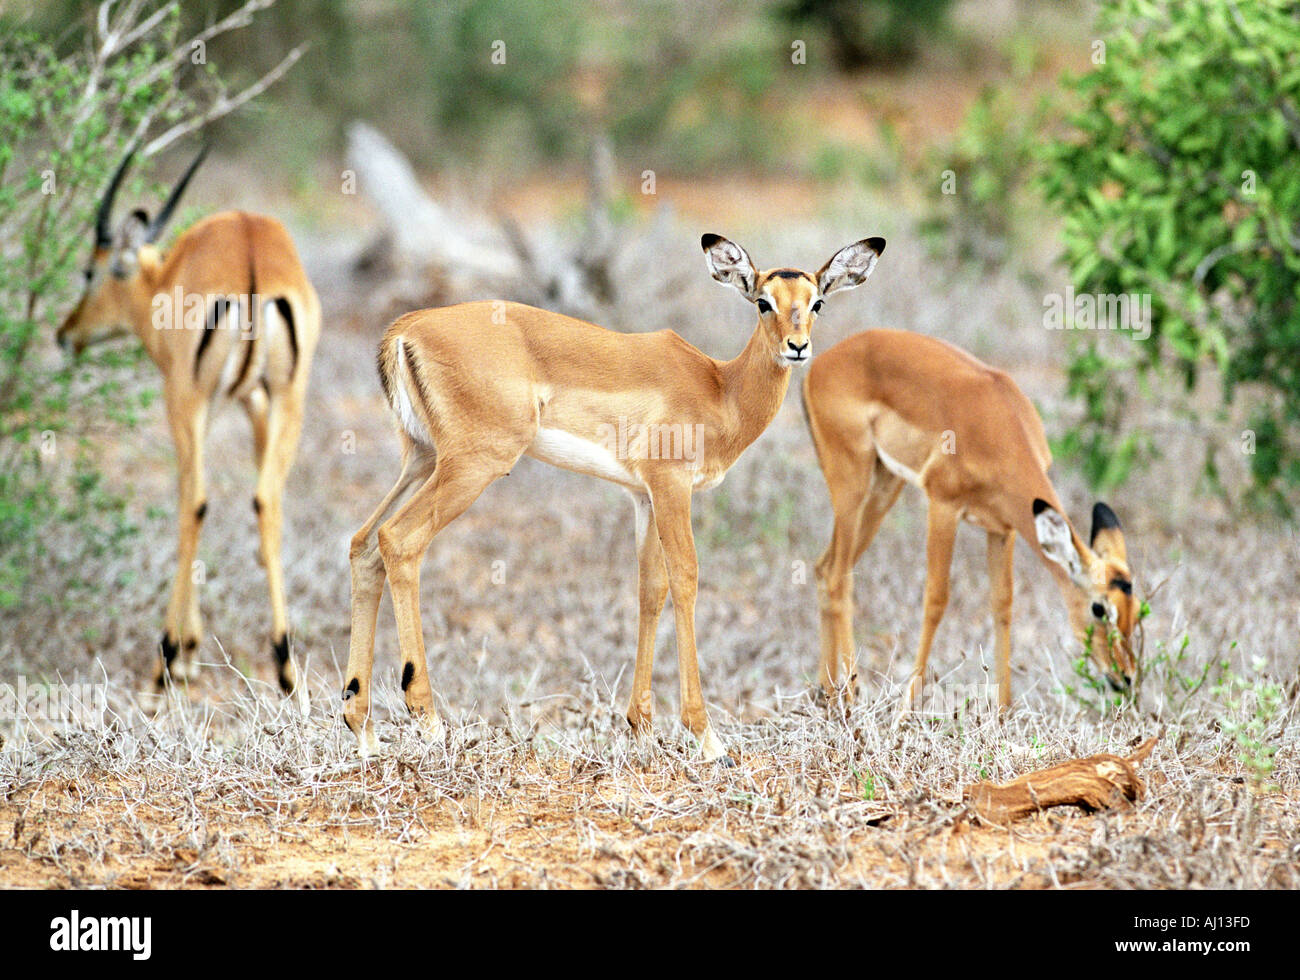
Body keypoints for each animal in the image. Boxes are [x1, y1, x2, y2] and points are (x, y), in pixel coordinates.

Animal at [57, 144, 321, 695]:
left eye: (89, 272)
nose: (65, 333)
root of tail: (252, 261)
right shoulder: (251, 399)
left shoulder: (185, 399)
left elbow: (185, 497)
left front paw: (184, 651)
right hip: (290, 395)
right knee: (268, 499)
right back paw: (285, 661)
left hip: (190, 400)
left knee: (195, 503)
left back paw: (164, 659)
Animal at [342, 233, 886, 761]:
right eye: (762, 302)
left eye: (816, 302)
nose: (798, 347)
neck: (719, 389)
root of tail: (408, 327)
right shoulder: (671, 486)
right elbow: (686, 579)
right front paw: (707, 738)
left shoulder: (642, 496)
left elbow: (651, 589)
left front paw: (640, 727)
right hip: (473, 465)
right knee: (400, 540)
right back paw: (429, 723)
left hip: (422, 459)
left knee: (364, 543)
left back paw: (363, 729)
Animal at [802, 329, 1140, 716]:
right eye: (1099, 608)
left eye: (1136, 611)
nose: (1125, 677)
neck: (1002, 426)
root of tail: (823, 361)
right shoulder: (943, 506)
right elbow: (936, 599)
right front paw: (905, 710)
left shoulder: (1003, 527)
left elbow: (1002, 604)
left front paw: (1004, 713)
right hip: (852, 484)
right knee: (839, 577)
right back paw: (850, 698)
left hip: (885, 484)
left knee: (824, 568)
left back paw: (827, 695)